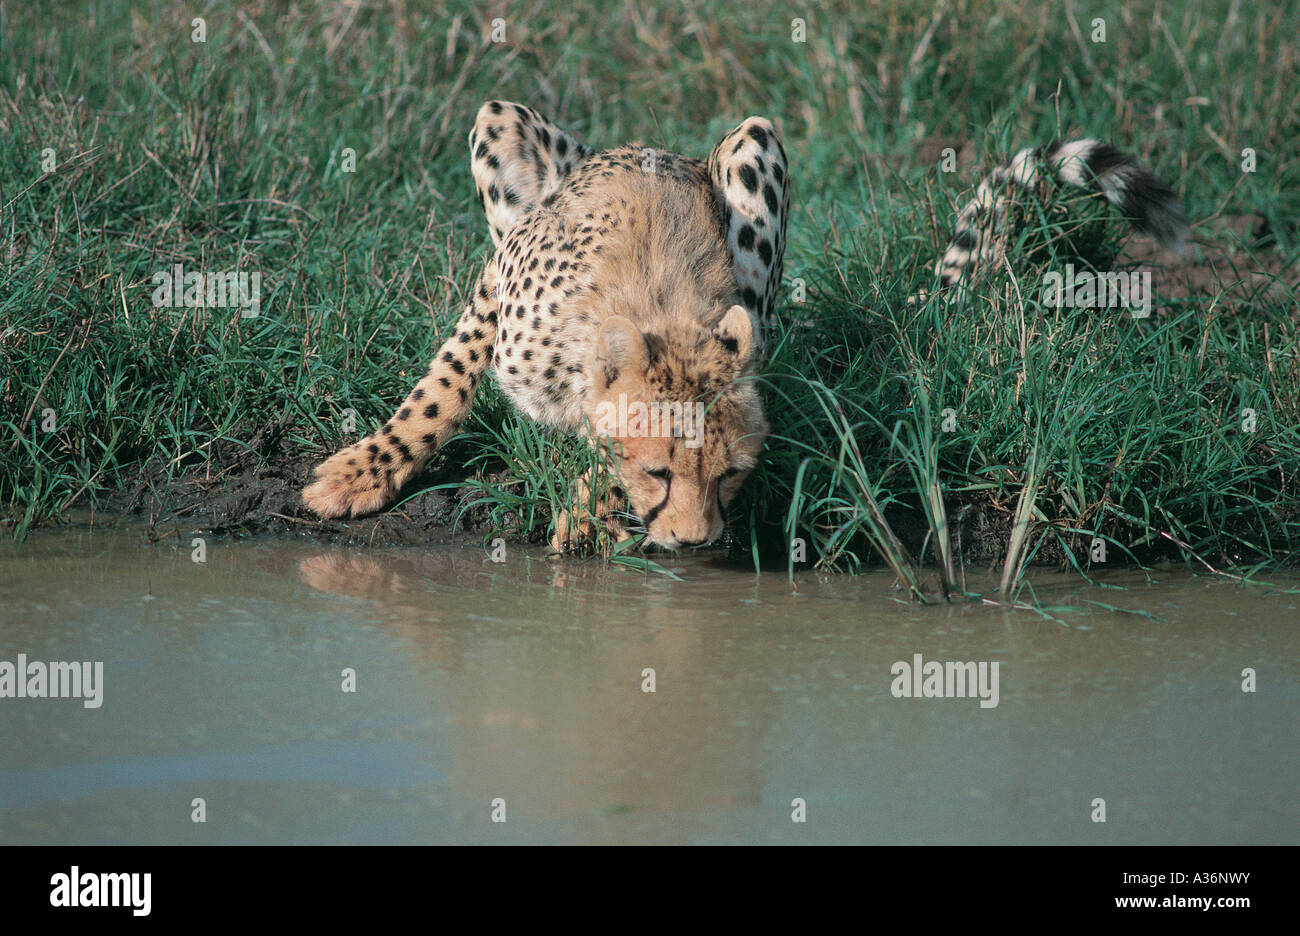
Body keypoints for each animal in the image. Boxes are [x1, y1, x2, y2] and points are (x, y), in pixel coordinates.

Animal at [303, 101, 789, 551]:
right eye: (657, 472)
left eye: (730, 474)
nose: (694, 541)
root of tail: (647, 148)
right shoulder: (498, 273)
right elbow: (443, 386)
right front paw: (361, 474)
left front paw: (589, 518)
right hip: (499, 118)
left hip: (754, 139)